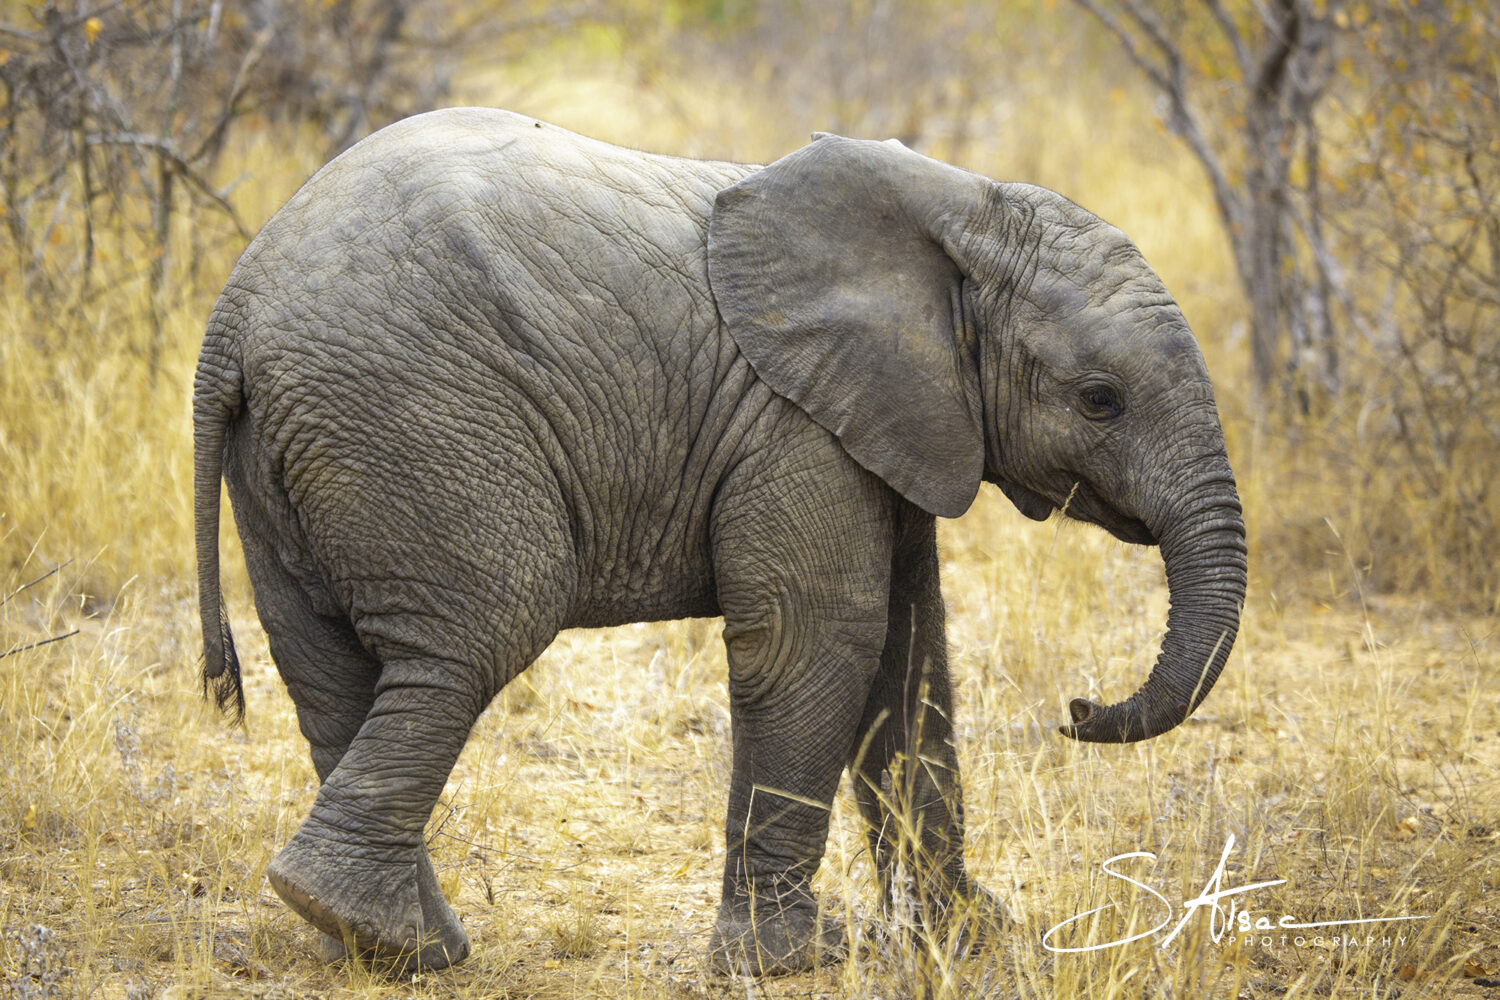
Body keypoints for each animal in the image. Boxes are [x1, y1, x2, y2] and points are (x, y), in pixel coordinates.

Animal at [193, 108, 1246, 975]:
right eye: (1100, 401)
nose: (1077, 709)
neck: (962, 207)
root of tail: (235, 305)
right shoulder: (795, 423)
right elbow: (820, 639)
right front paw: (793, 961)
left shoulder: (890, 421)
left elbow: (911, 656)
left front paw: (970, 940)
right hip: (410, 420)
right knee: (475, 638)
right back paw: (382, 932)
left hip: (299, 453)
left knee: (332, 673)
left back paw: (389, 945)